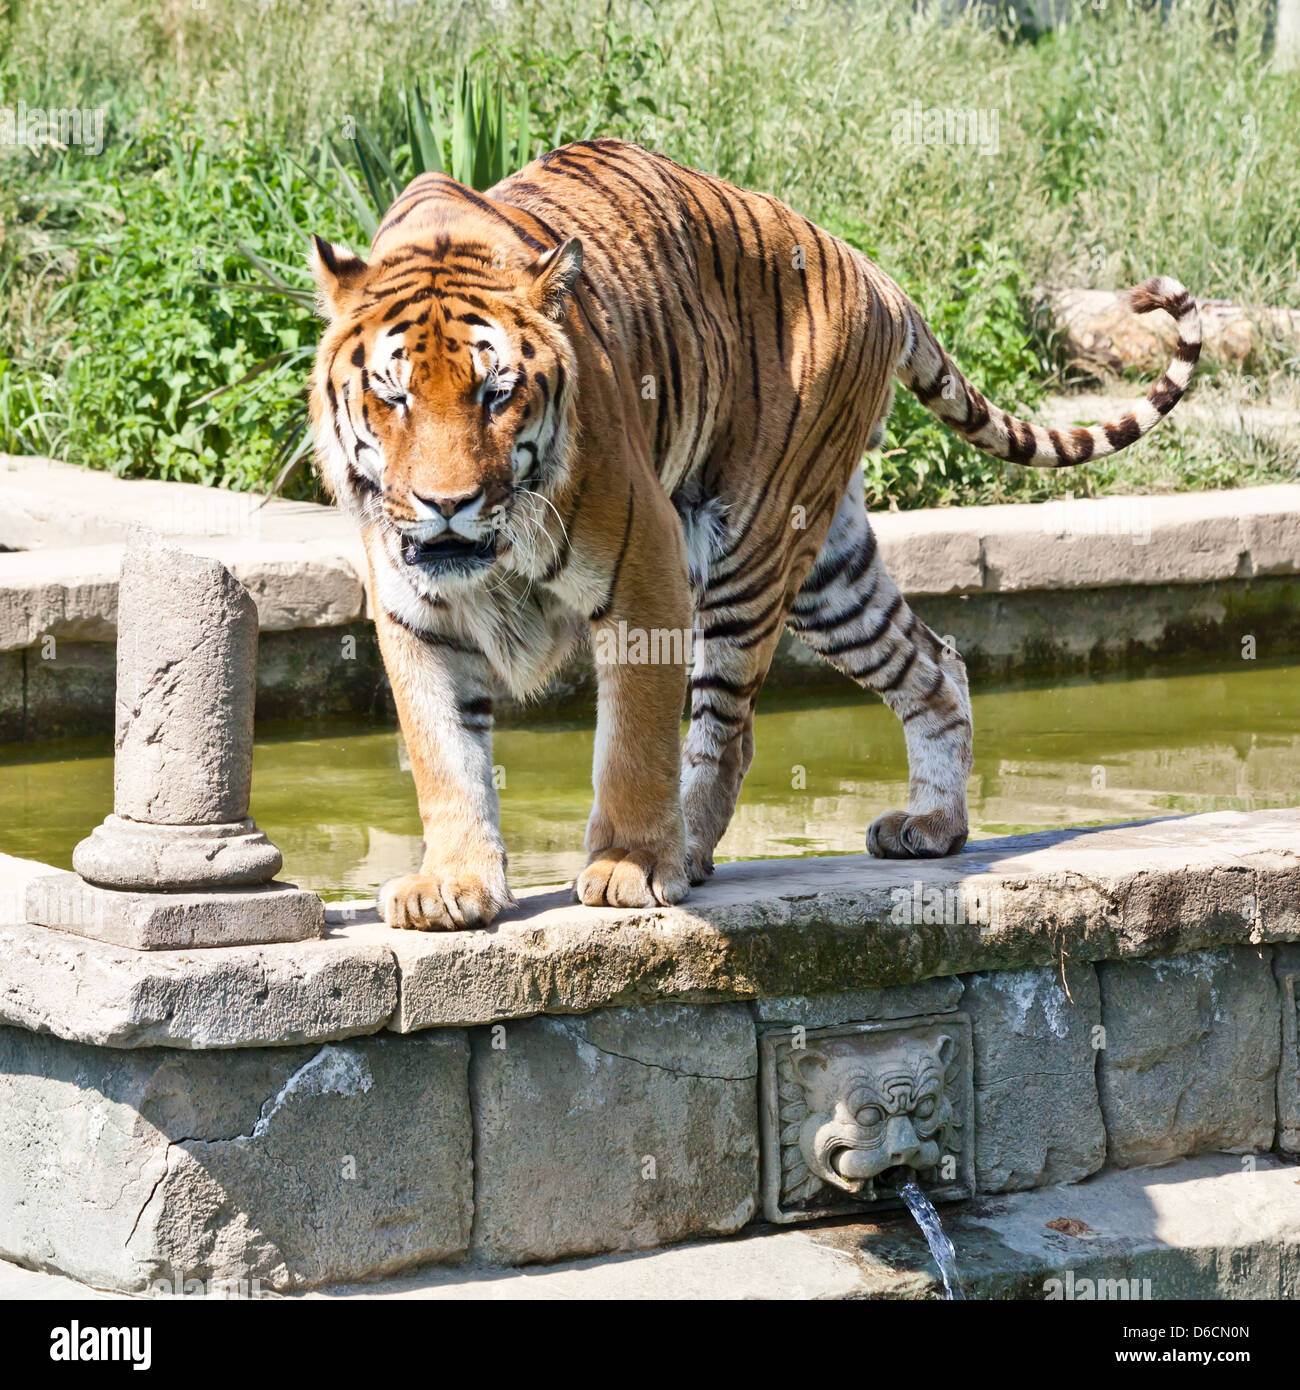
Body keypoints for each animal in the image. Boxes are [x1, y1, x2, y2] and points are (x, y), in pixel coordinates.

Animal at [308, 137, 1200, 931]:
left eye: (496, 394)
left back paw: (686, 853)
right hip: (830, 574)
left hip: (752, 548)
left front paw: (629, 866)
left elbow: (634, 742)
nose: (447, 503)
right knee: (935, 662)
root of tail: (871, 269)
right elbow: (444, 754)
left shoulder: (645, 567)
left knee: (728, 737)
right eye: (394, 396)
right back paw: (932, 826)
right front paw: (451, 886)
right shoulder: (413, 614)